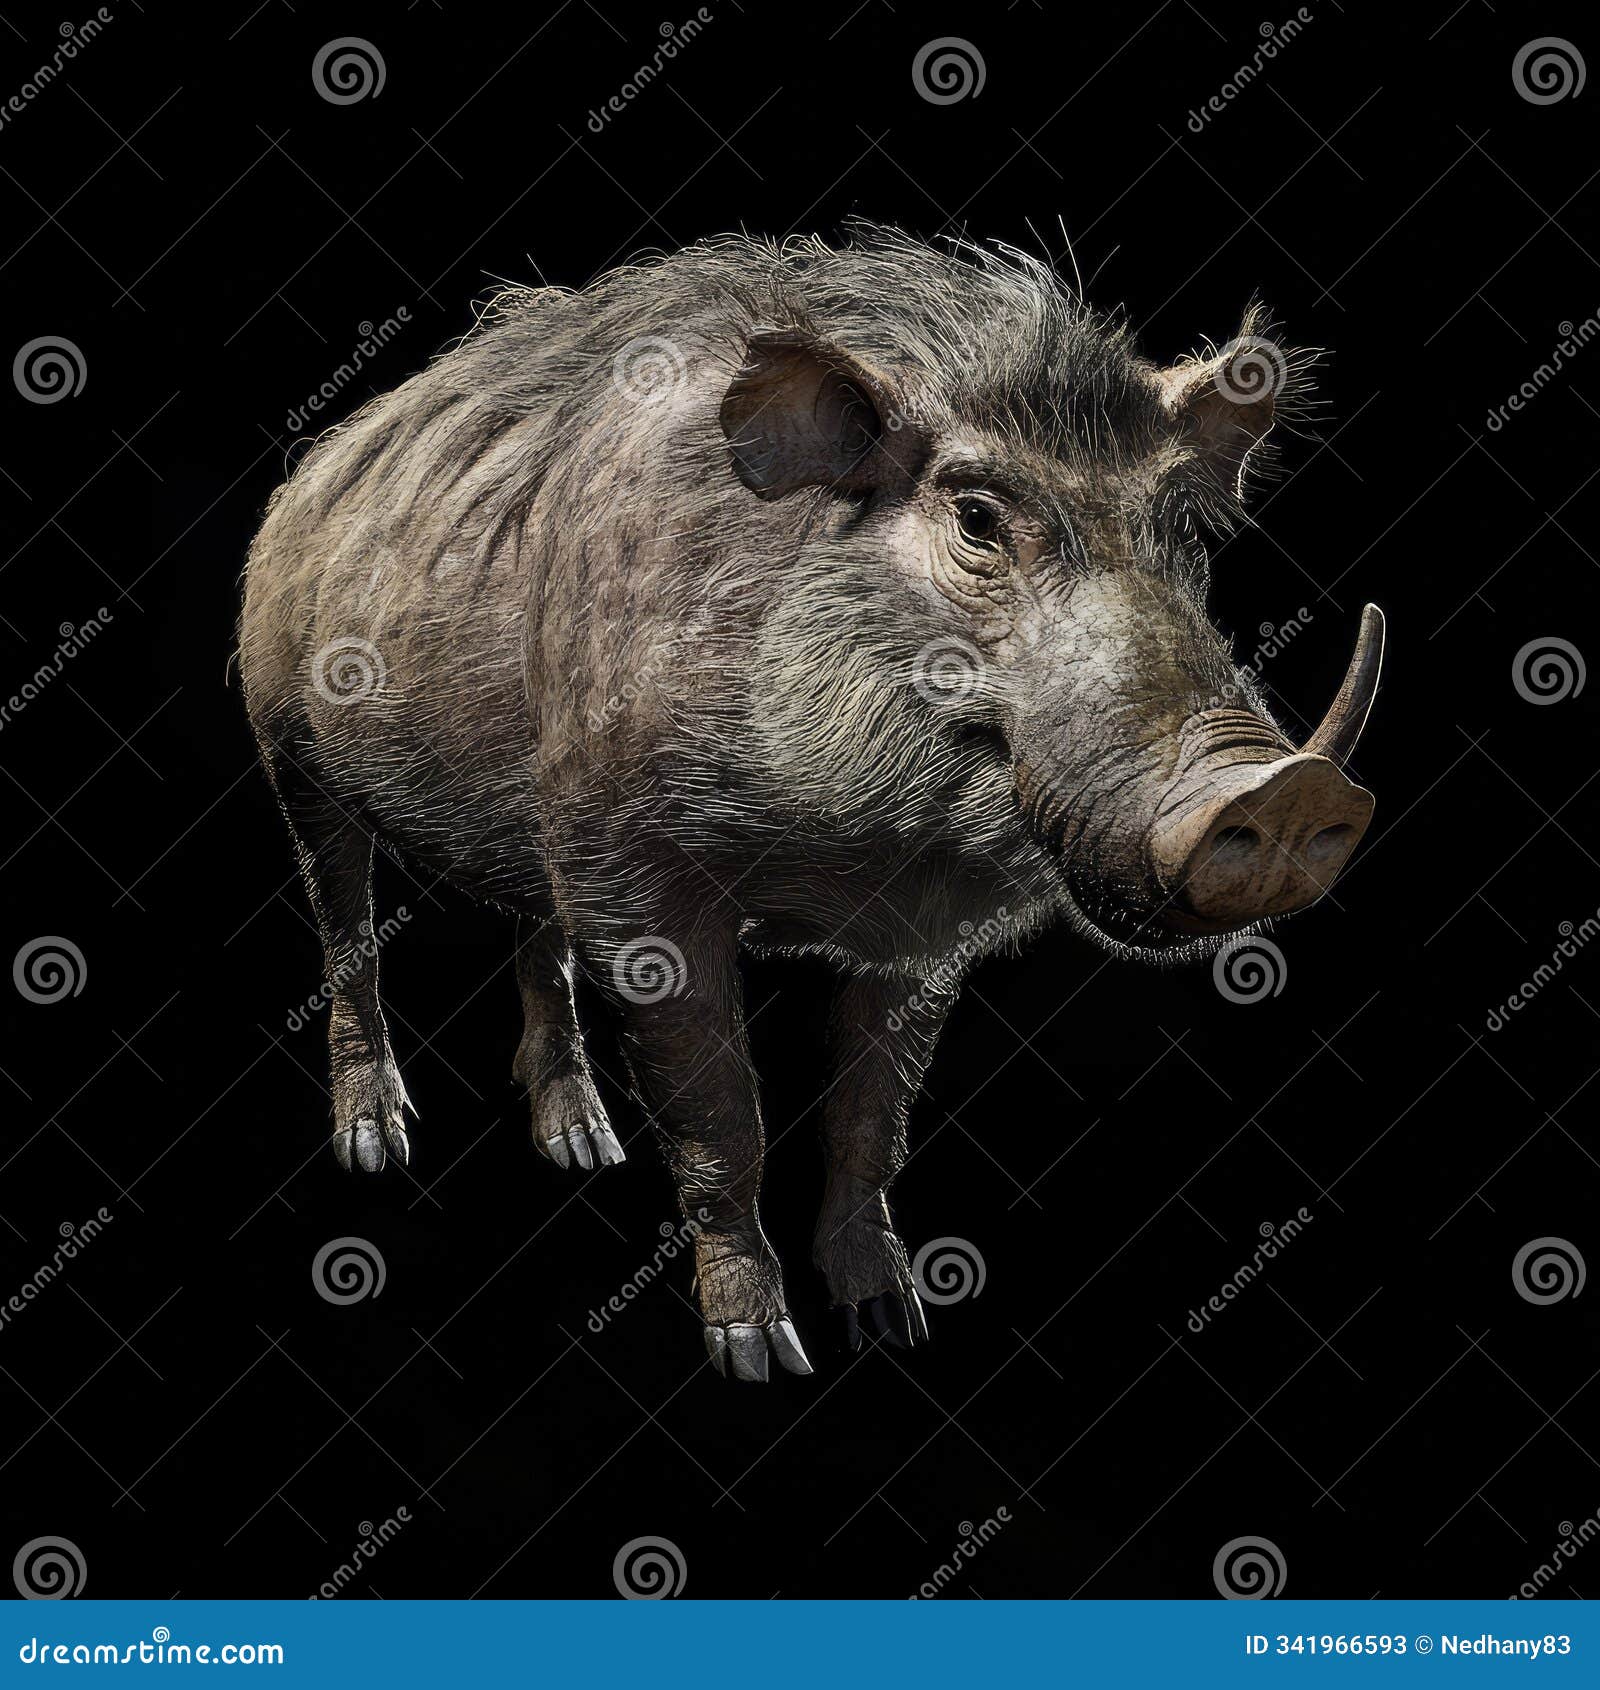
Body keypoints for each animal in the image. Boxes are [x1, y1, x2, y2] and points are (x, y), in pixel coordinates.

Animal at [239, 226, 1382, 1383]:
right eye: (977, 517)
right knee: (345, 927)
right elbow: (721, 1117)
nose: (1286, 786)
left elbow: (872, 1119)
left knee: (534, 934)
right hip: (287, 746)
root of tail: (310, 475)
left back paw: (582, 1147)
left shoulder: (914, 936)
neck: (850, 848)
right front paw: (759, 1355)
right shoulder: (632, 873)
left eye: (1183, 531)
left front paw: (893, 1321)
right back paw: (376, 1144)